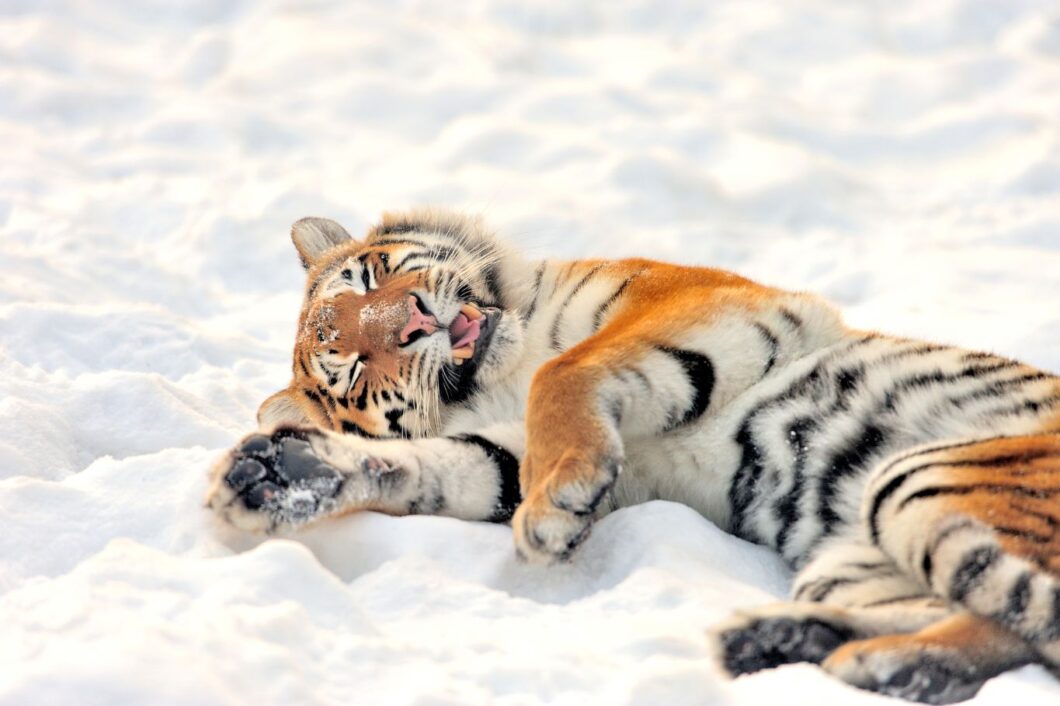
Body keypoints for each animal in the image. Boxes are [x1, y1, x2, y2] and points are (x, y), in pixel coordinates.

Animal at [206, 208, 1060, 704]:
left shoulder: (690, 302)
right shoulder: (538, 455)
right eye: (353, 365)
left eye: (377, 274)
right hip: (861, 551)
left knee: (1019, 622)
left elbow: (563, 371)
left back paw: (864, 662)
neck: (499, 369)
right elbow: (446, 464)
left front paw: (553, 509)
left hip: (920, 480)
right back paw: (800, 646)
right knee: (999, 627)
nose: (416, 322)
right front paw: (281, 473)